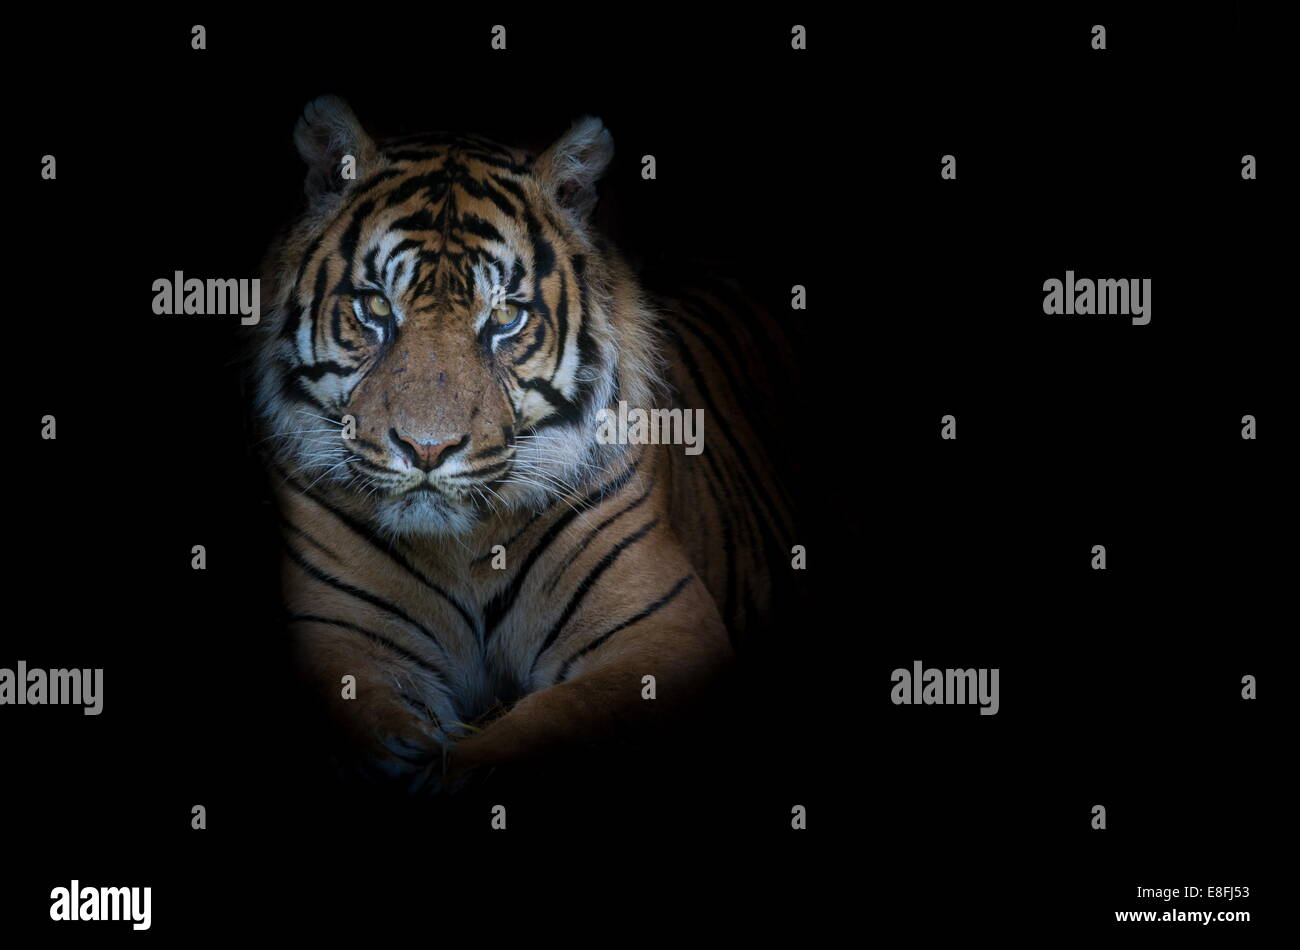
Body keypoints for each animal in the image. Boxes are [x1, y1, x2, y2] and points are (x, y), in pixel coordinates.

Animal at [249, 96, 797, 792]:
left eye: (505, 318)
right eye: (374, 307)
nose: (427, 449)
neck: (461, 551)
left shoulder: (664, 633)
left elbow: (550, 723)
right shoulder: (338, 636)